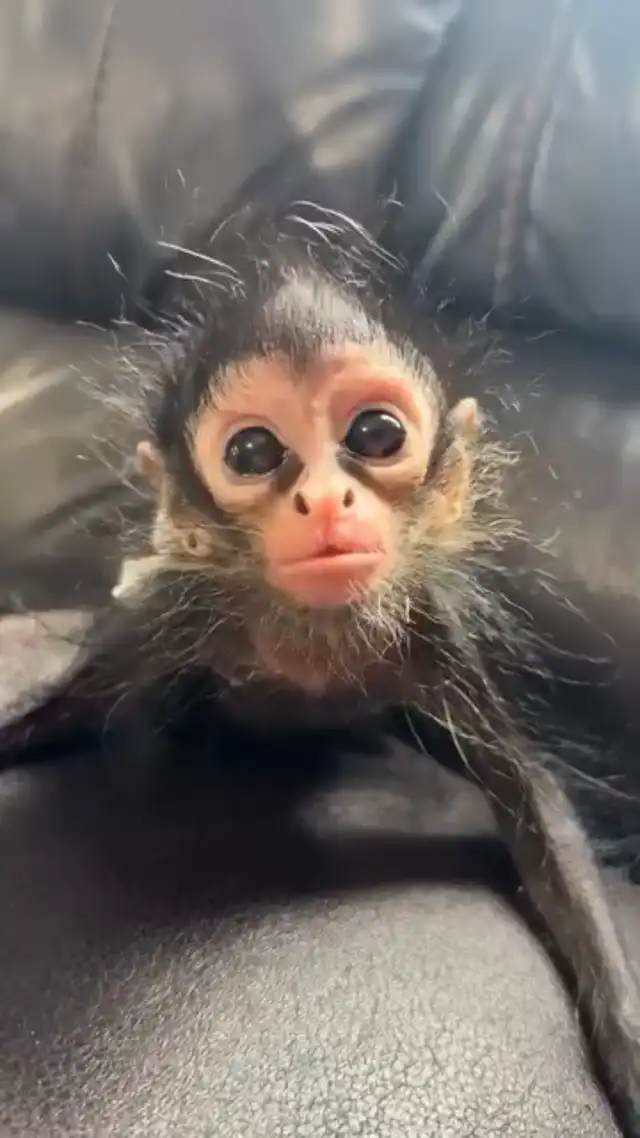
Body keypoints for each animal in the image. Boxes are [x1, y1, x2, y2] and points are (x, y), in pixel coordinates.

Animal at [0, 202, 638, 1135]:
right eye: (253, 452)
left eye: (376, 435)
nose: (327, 501)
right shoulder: (172, 625)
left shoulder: (429, 629)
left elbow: (535, 802)